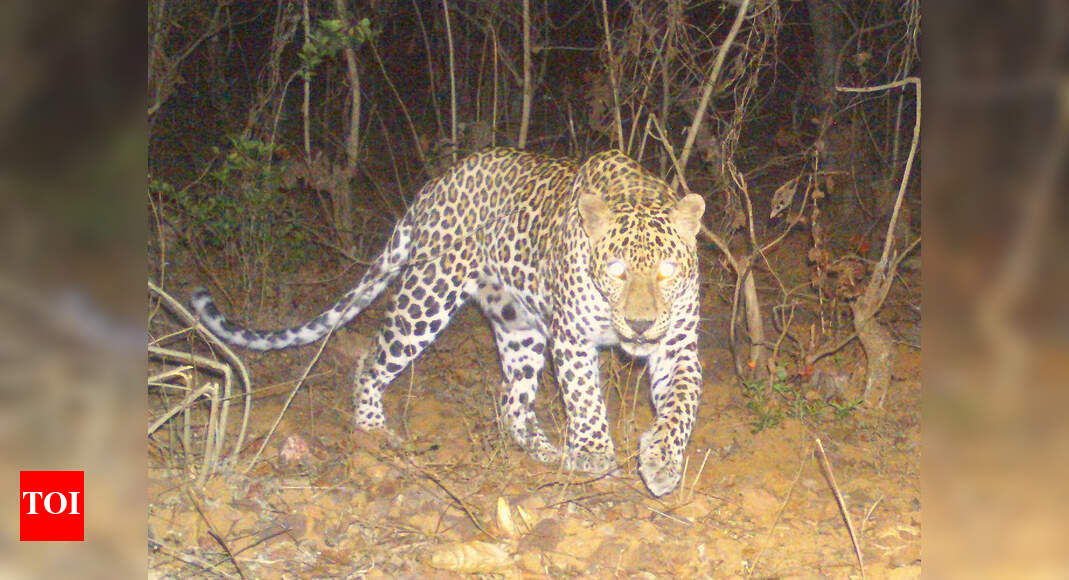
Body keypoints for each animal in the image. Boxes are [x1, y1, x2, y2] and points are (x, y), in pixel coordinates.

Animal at [192, 148, 706, 496]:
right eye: (616, 270)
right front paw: (596, 453)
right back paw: (372, 430)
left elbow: (681, 403)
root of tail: (436, 184)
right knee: (372, 359)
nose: (639, 325)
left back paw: (545, 450)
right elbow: (584, 397)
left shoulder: (677, 345)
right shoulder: (573, 337)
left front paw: (661, 461)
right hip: (427, 296)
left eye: (667, 270)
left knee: (511, 401)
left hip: (519, 328)